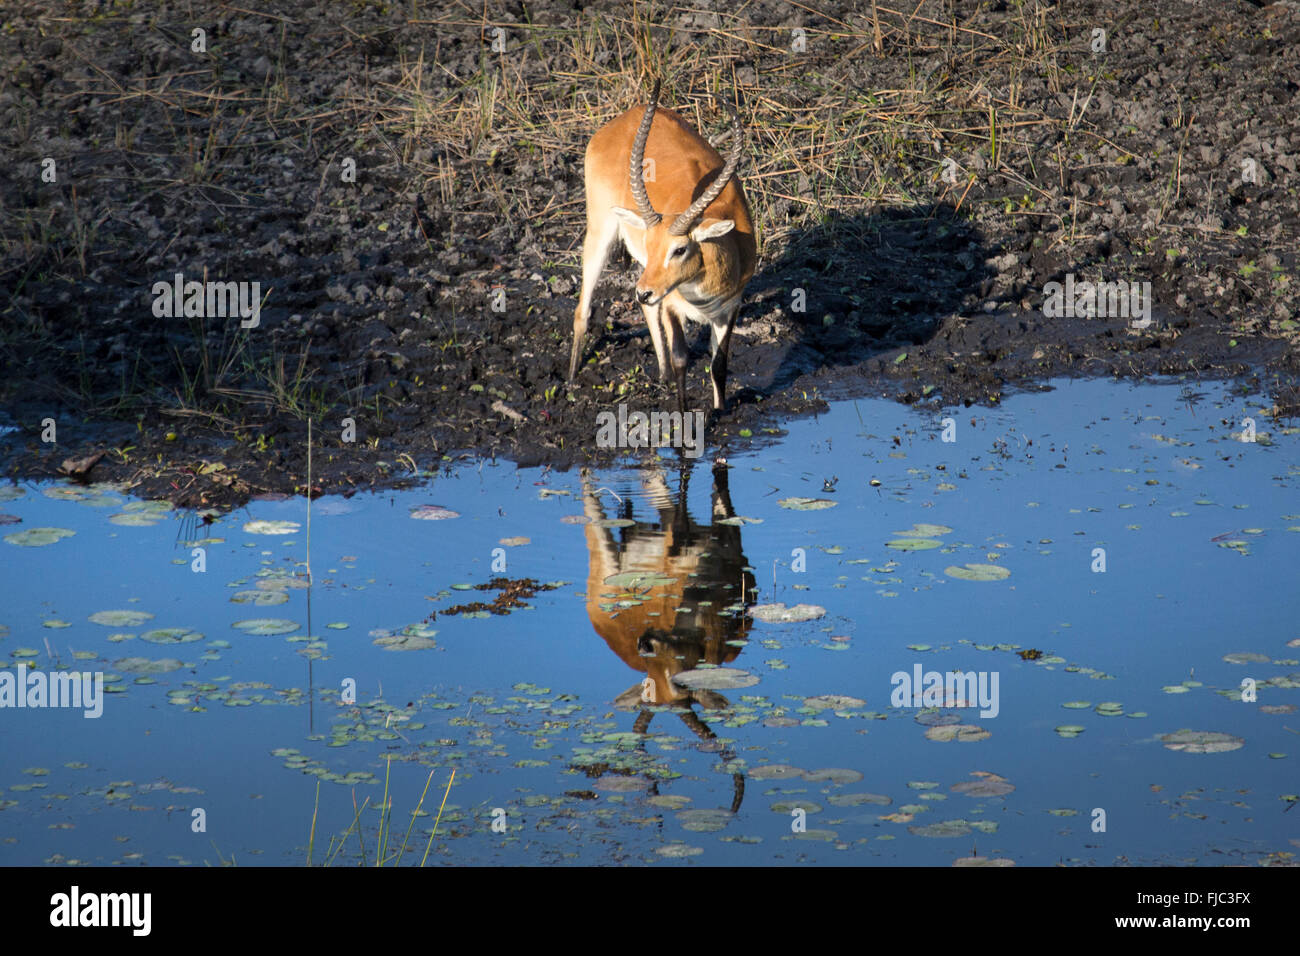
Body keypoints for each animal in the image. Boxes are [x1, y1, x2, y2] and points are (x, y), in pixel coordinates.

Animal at [568, 80, 757, 414]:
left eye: (679, 249)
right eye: (650, 243)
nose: (643, 291)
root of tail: (624, 118)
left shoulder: (729, 307)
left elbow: (719, 363)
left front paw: (721, 410)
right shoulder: (671, 303)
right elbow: (682, 356)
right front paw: (683, 418)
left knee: (644, 309)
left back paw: (663, 374)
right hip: (602, 232)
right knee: (583, 308)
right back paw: (572, 379)